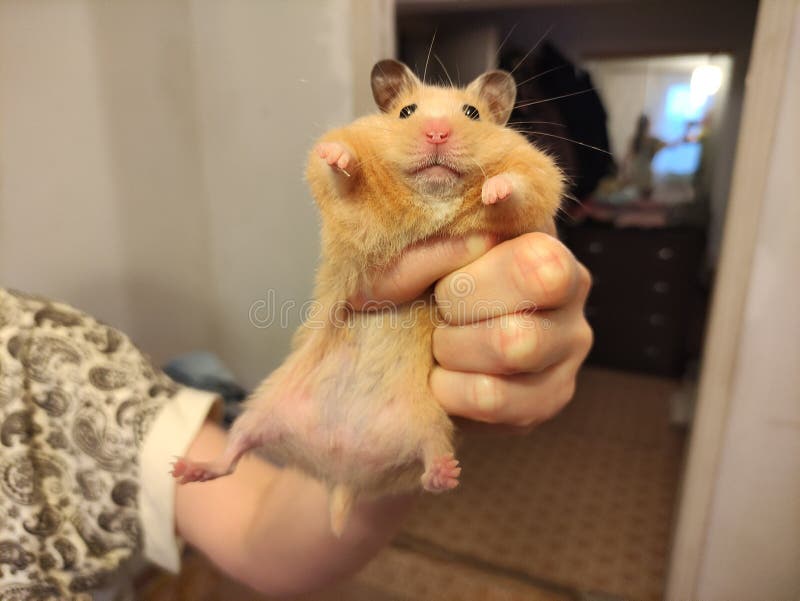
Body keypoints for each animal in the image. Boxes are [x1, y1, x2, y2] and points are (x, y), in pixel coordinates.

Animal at [171, 59, 564, 535]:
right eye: (407, 112)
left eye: (471, 113)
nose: (437, 133)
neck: (432, 197)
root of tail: (341, 473)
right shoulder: (349, 207)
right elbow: (343, 178)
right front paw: (337, 155)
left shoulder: (537, 181)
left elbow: (520, 187)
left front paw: (494, 190)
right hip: (261, 408)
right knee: (233, 454)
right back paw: (184, 469)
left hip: (428, 423)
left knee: (429, 462)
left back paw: (446, 473)